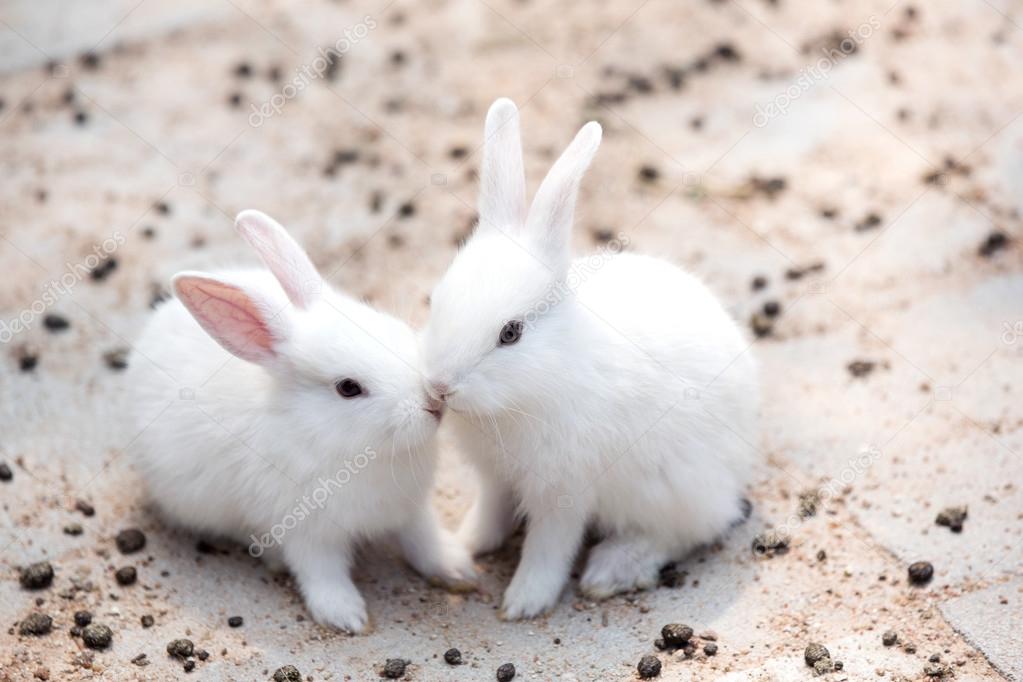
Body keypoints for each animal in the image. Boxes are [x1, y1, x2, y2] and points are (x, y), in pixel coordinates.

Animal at [126, 210, 476, 632]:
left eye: (394, 328)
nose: (433, 404)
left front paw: (458, 569)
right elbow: (321, 573)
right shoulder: (307, 534)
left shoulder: (411, 510)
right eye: (348, 388)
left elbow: (423, 541)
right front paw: (347, 617)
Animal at [419, 99, 759, 619]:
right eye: (435, 301)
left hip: (671, 488)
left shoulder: (564, 490)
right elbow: (492, 512)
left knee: (688, 531)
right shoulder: (497, 479)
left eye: (511, 333)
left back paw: (611, 571)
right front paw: (469, 544)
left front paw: (523, 603)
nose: (439, 386)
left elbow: (549, 547)